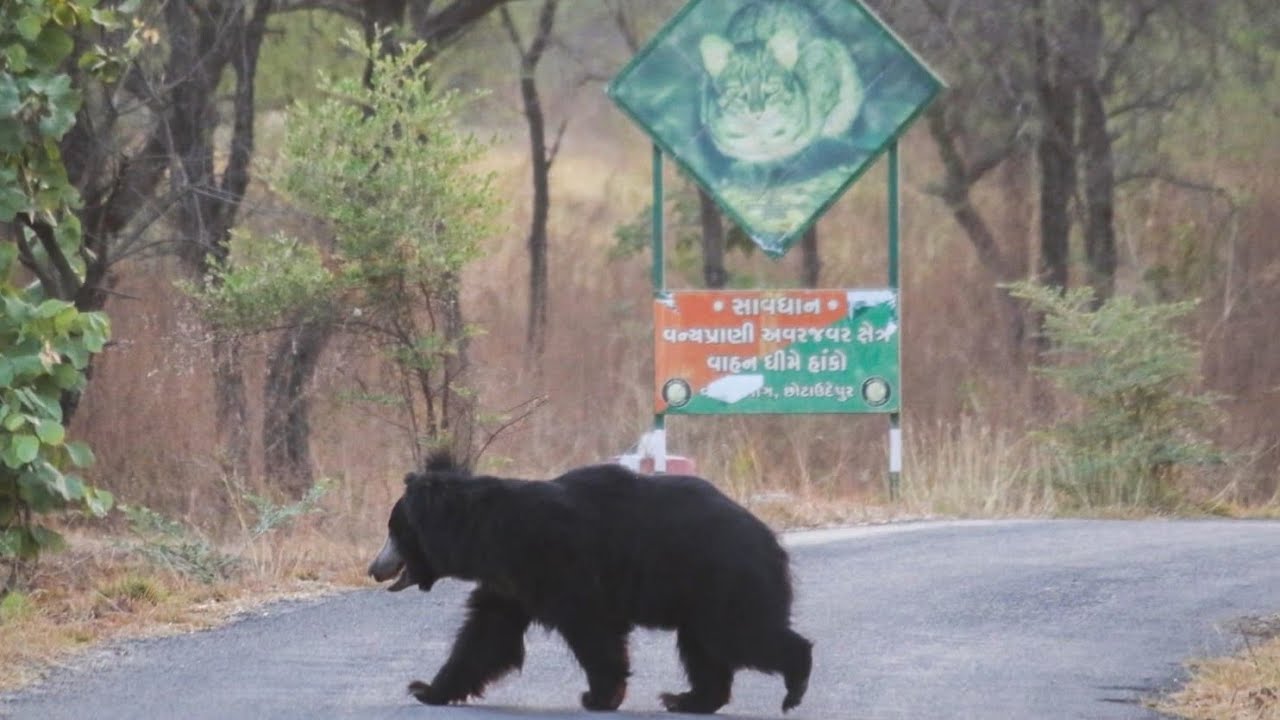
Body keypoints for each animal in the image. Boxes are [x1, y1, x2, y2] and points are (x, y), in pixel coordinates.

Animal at [367, 454, 812, 715]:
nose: (374, 568)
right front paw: (426, 688)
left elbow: (590, 628)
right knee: (705, 650)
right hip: (701, 596)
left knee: (741, 637)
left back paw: (793, 687)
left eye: (393, 530)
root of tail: (771, 540)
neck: (487, 539)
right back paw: (687, 699)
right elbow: (486, 635)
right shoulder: (509, 583)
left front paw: (598, 696)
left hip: (723, 582)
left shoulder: (556, 562)